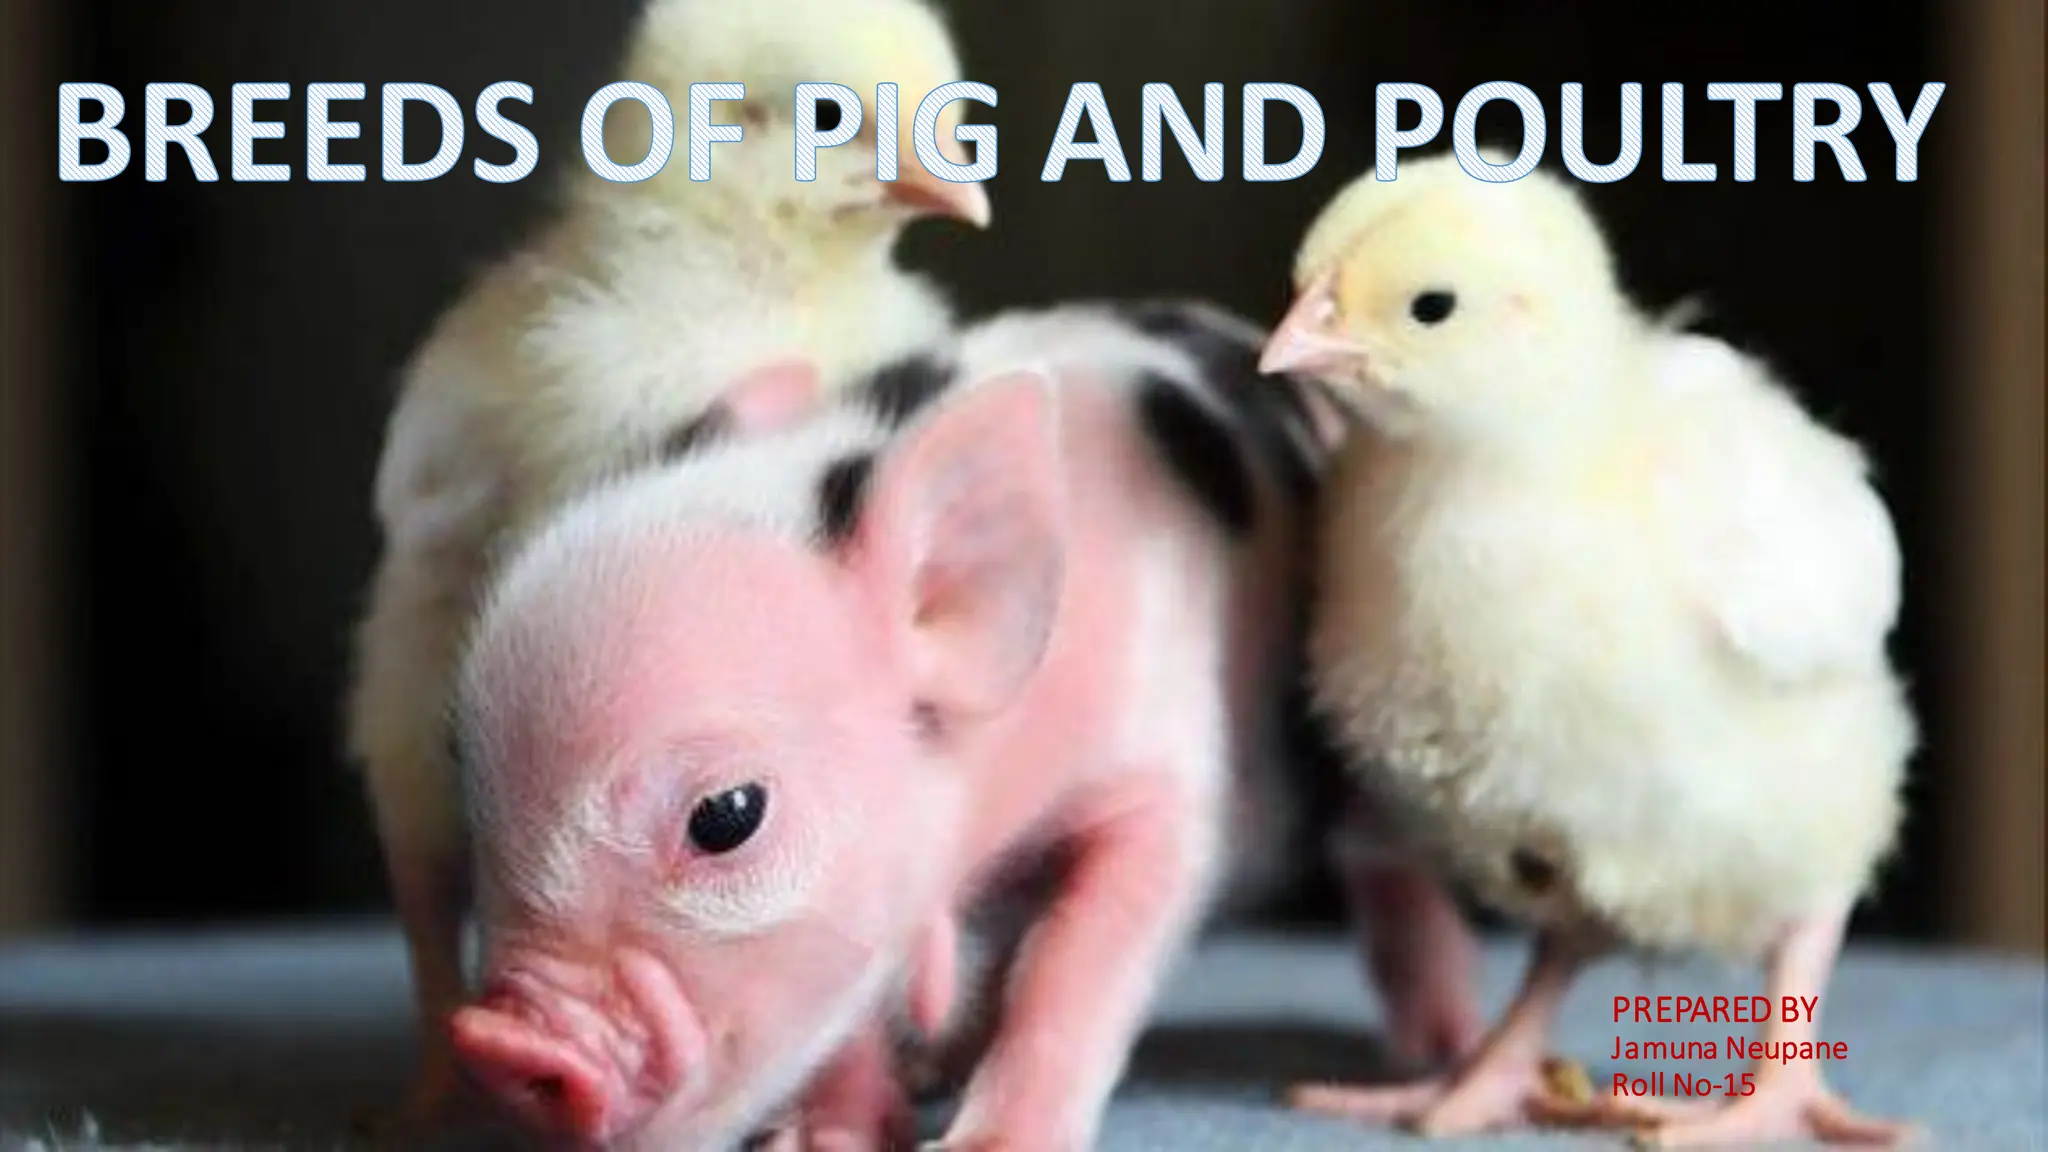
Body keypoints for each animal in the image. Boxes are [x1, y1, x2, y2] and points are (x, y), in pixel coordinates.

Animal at [441, 301, 1475, 1150]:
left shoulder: (1166, 770)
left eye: (727, 815)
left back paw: (1431, 1052)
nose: (498, 1039)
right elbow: (855, 1005)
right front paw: (827, 1140)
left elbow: (1082, 954)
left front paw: (990, 1144)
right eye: (470, 786)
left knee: (1388, 864)